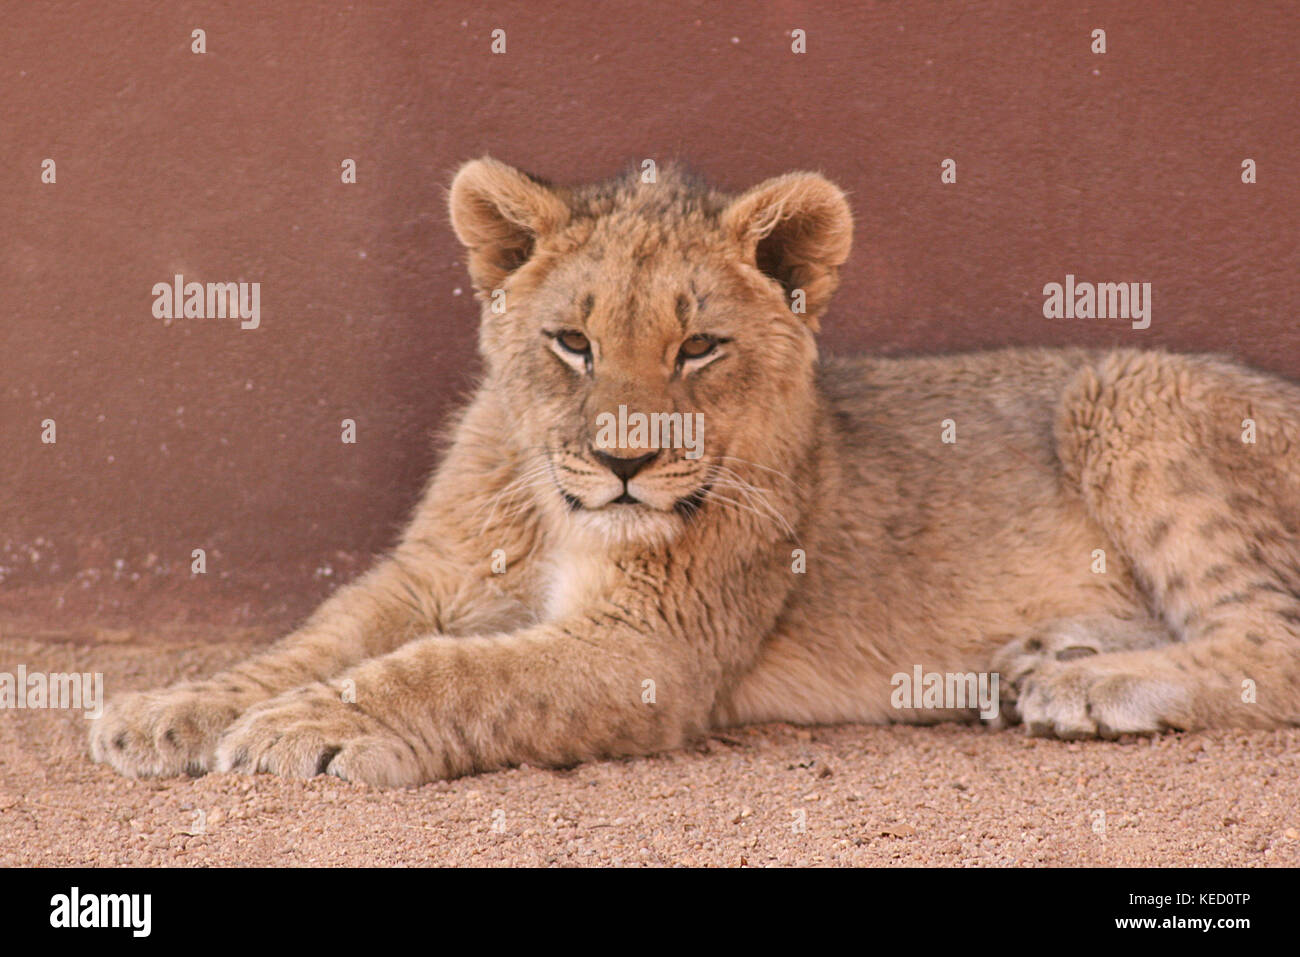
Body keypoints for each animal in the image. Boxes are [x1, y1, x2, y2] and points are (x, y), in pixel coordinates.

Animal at [90, 158, 1300, 787]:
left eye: (699, 347)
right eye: (572, 342)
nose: (625, 463)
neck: (553, 512)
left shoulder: (650, 648)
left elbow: (447, 673)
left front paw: (303, 729)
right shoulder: (429, 575)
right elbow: (316, 637)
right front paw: (168, 712)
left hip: (1125, 388)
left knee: (1271, 645)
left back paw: (1079, 688)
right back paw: (1042, 661)